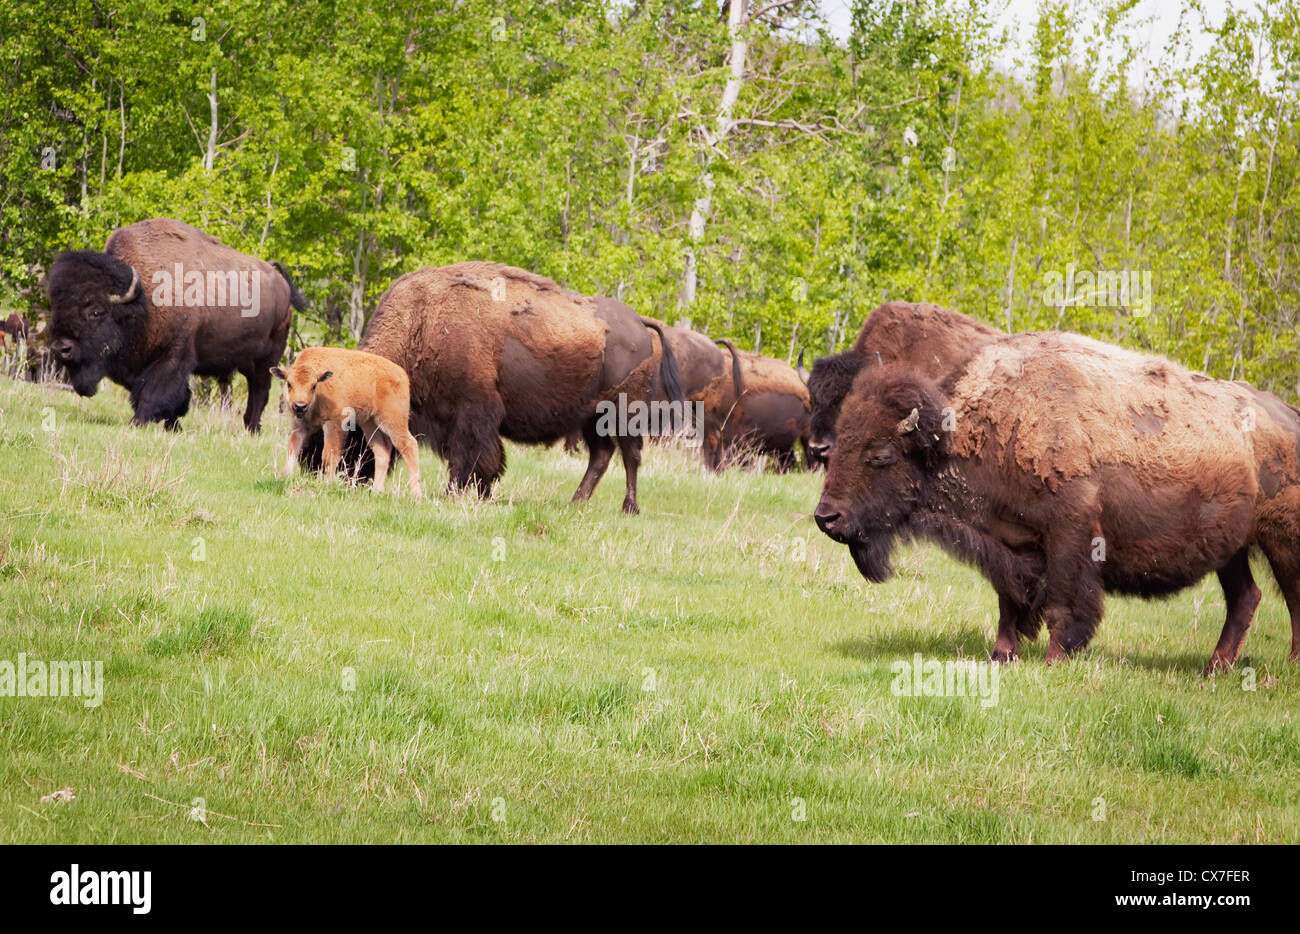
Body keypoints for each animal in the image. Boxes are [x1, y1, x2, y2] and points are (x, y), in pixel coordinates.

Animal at [46, 218, 305, 431]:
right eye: (55, 308)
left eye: (96, 311)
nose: (61, 348)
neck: (144, 298)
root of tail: (279, 280)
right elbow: (172, 397)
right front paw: (173, 425)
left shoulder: (173, 356)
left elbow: (154, 393)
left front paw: (137, 422)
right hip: (247, 361)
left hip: (267, 359)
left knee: (260, 390)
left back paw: (252, 429)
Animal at [815, 331, 1300, 672]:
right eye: (838, 446)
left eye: (880, 454)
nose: (826, 517)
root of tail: (1287, 416)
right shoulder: (1009, 544)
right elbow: (1009, 602)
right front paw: (1001, 656)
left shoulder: (1069, 534)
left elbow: (1062, 604)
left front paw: (1054, 660)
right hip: (1232, 549)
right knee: (1245, 598)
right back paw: (1213, 669)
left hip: (1280, 542)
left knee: (1290, 598)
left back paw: (1286, 667)